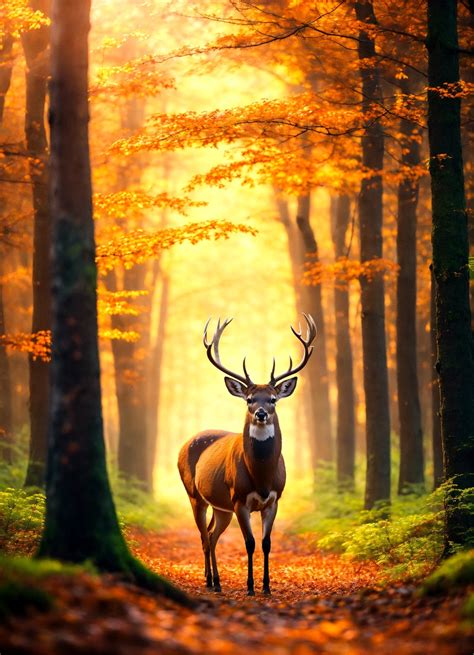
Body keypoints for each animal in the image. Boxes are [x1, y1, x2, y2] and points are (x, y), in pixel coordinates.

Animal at [178, 314, 316, 596]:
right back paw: (209, 581)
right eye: (249, 399)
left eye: (273, 399)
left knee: (212, 534)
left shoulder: (274, 499)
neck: (261, 476)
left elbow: (266, 543)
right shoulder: (239, 498)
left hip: (221, 506)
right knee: (203, 536)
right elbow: (250, 542)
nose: (261, 413)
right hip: (195, 494)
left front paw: (267, 587)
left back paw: (216, 581)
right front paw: (251, 587)